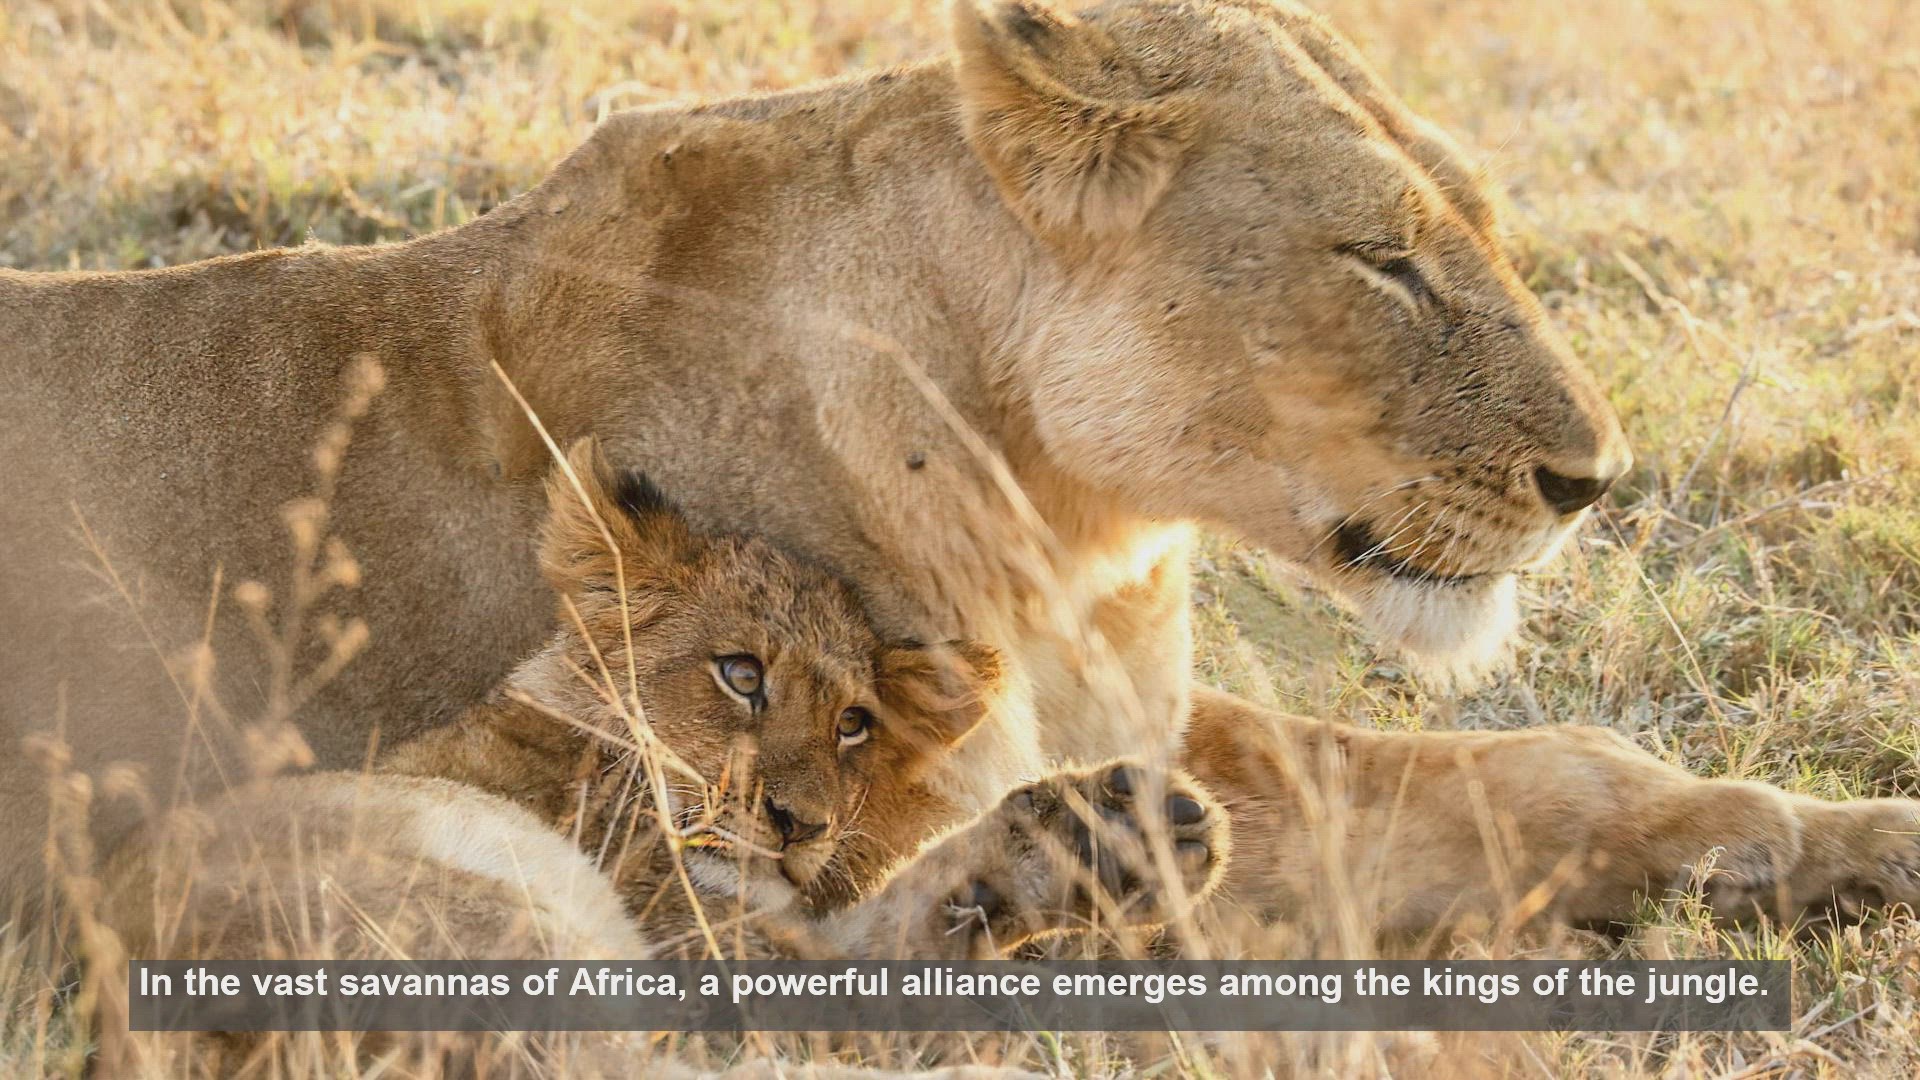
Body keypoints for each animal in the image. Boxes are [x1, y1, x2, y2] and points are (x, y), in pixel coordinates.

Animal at [6, 0, 1918, 941]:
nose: (1596, 479)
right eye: (1383, 262)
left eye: (1489, 228)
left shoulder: (1148, 720)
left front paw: (1825, 845)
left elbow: (1518, 777)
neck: (1076, 520)